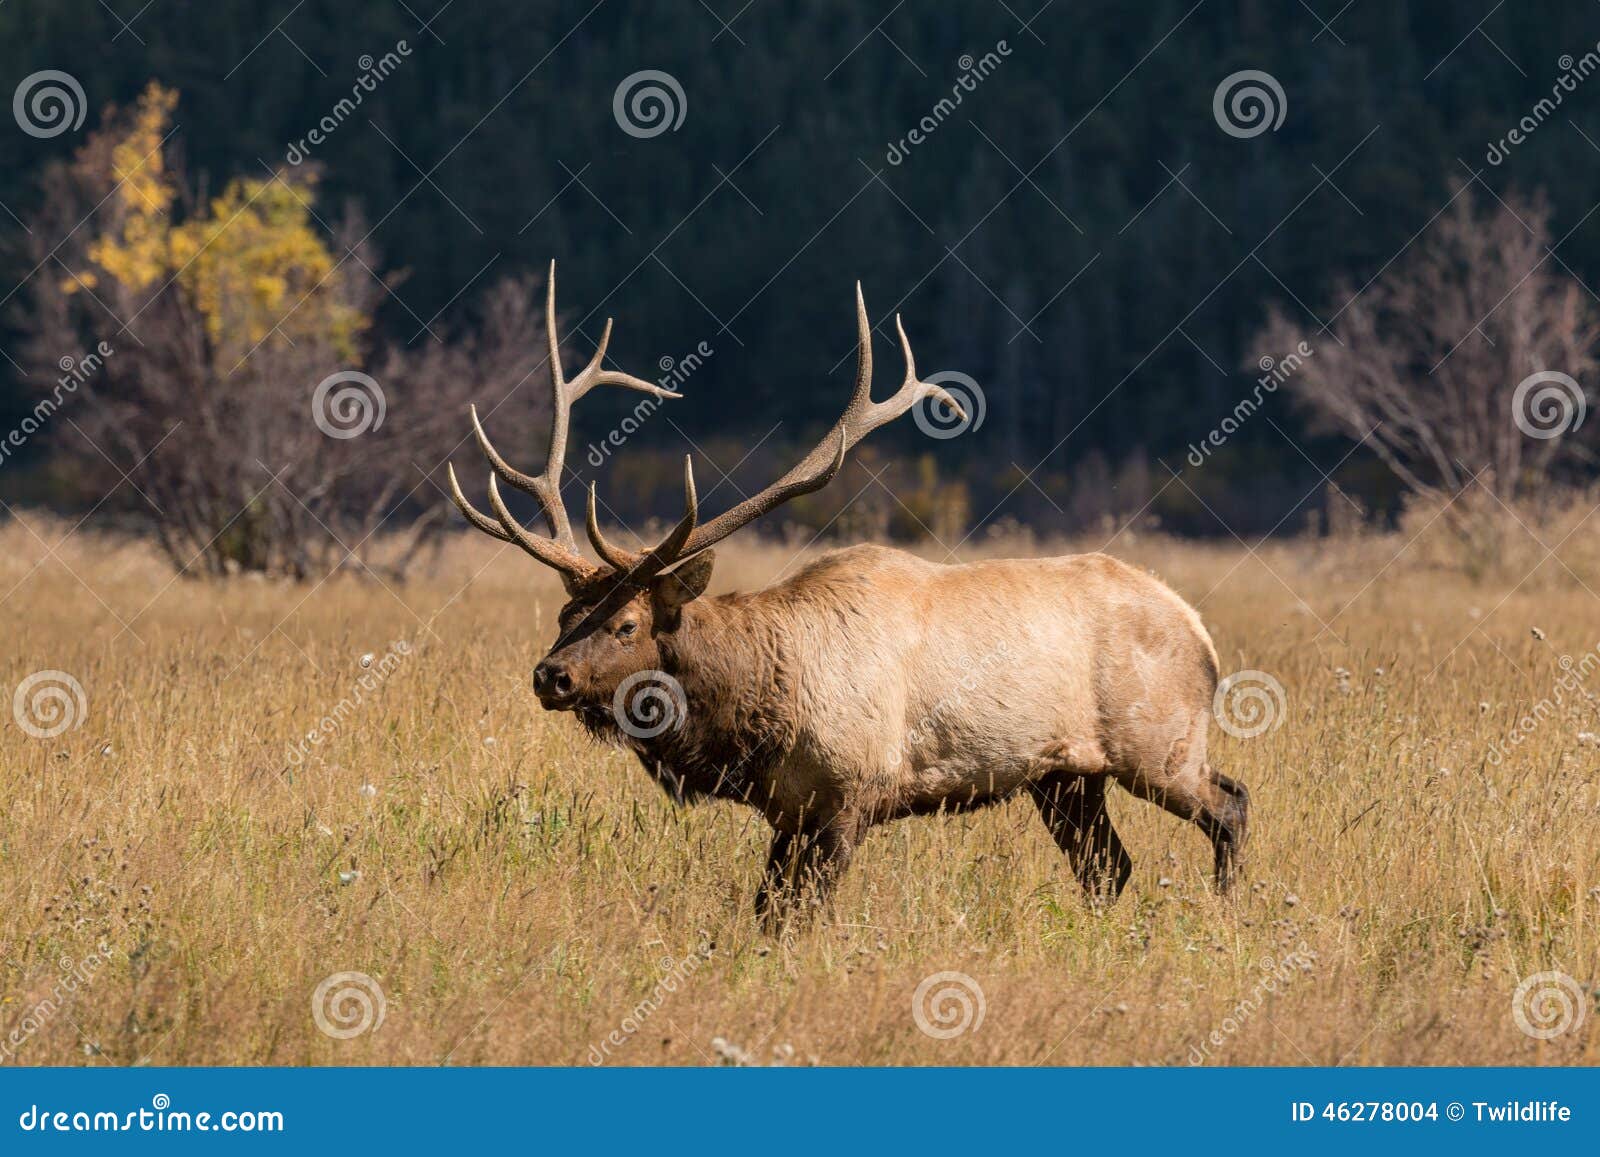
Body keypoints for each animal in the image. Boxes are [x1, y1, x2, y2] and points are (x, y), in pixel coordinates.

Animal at [448, 263, 1249, 928]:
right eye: (566, 613)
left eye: (627, 623)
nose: (549, 676)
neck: (758, 709)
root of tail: (1202, 631)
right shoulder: (788, 811)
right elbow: (767, 912)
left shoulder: (852, 794)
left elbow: (805, 915)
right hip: (1064, 776)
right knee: (1110, 866)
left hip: (1159, 746)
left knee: (1229, 806)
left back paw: (1227, 914)